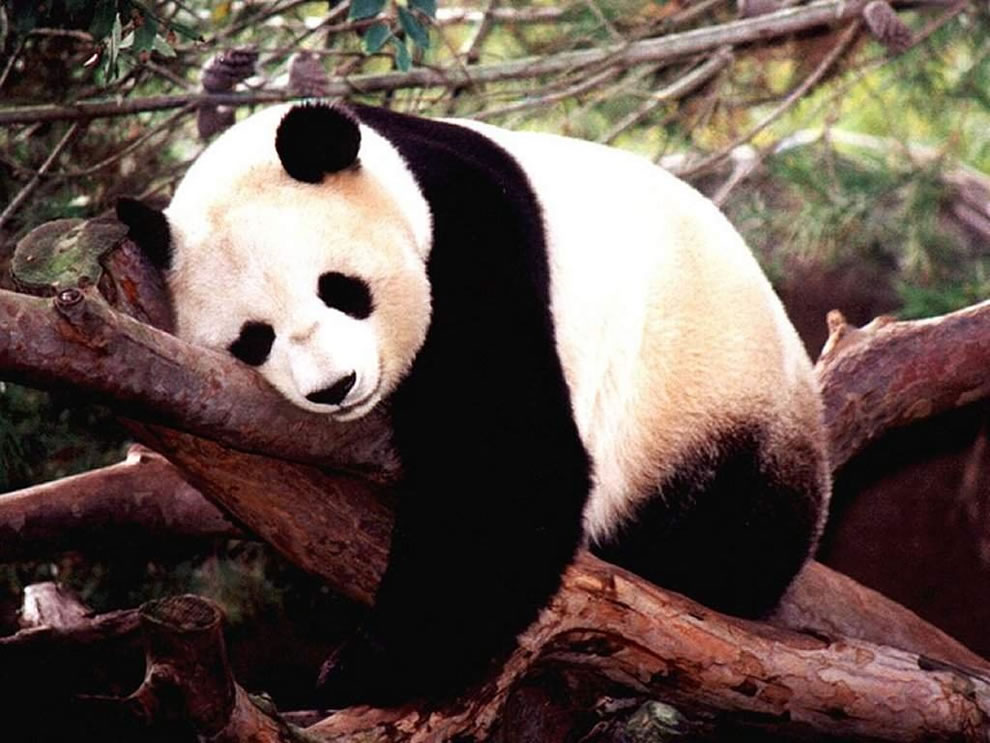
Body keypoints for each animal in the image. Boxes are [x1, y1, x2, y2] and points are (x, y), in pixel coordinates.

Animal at [117, 101, 830, 707]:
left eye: (341, 289)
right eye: (255, 338)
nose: (335, 387)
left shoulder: (474, 240)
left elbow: (504, 463)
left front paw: (369, 666)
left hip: (709, 400)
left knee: (730, 533)